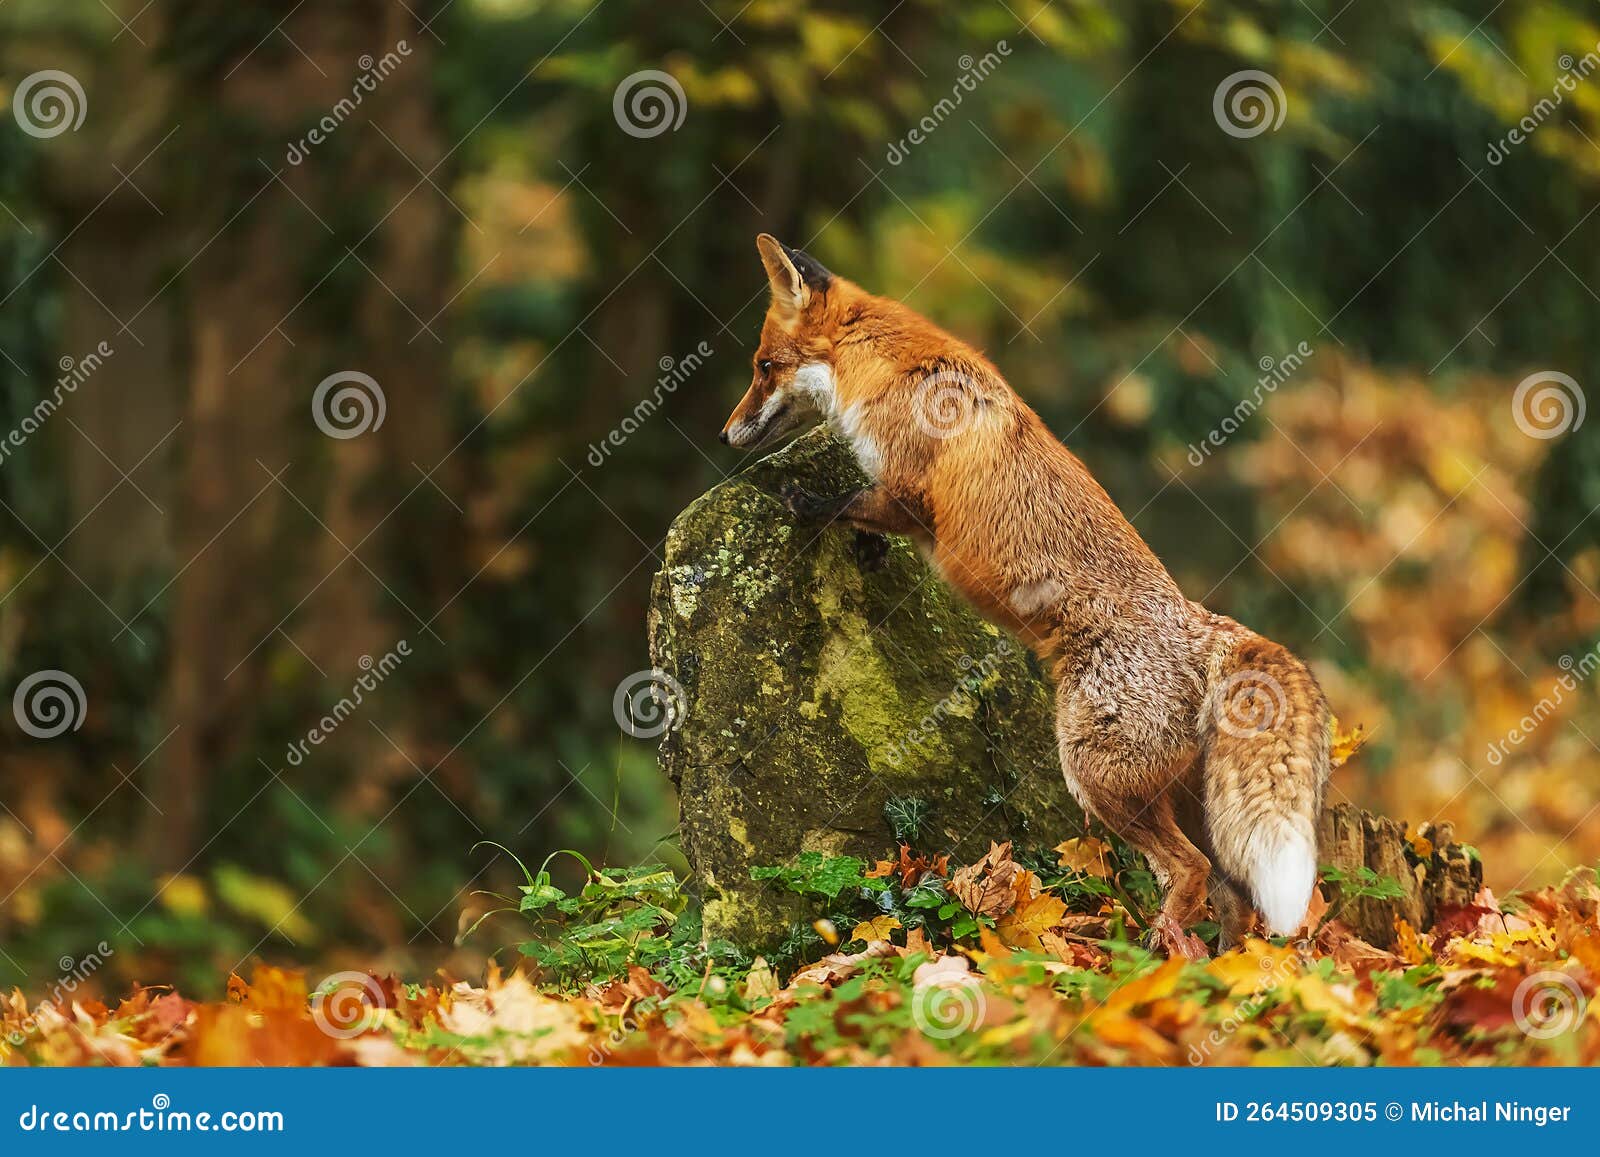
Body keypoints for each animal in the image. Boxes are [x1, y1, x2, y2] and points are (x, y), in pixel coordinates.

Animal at [719, 234, 1333, 957]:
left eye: (763, 366)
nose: (725, 434)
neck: (894, 371)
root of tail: (1200, 624)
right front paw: (863, 546)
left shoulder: (912, 495)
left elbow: (847, 503)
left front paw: (808, 505)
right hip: (1184, 800)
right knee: (1234, 897)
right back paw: (1225, 969)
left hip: (1094, 775)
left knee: (1188, 870)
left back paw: (1159, 952)